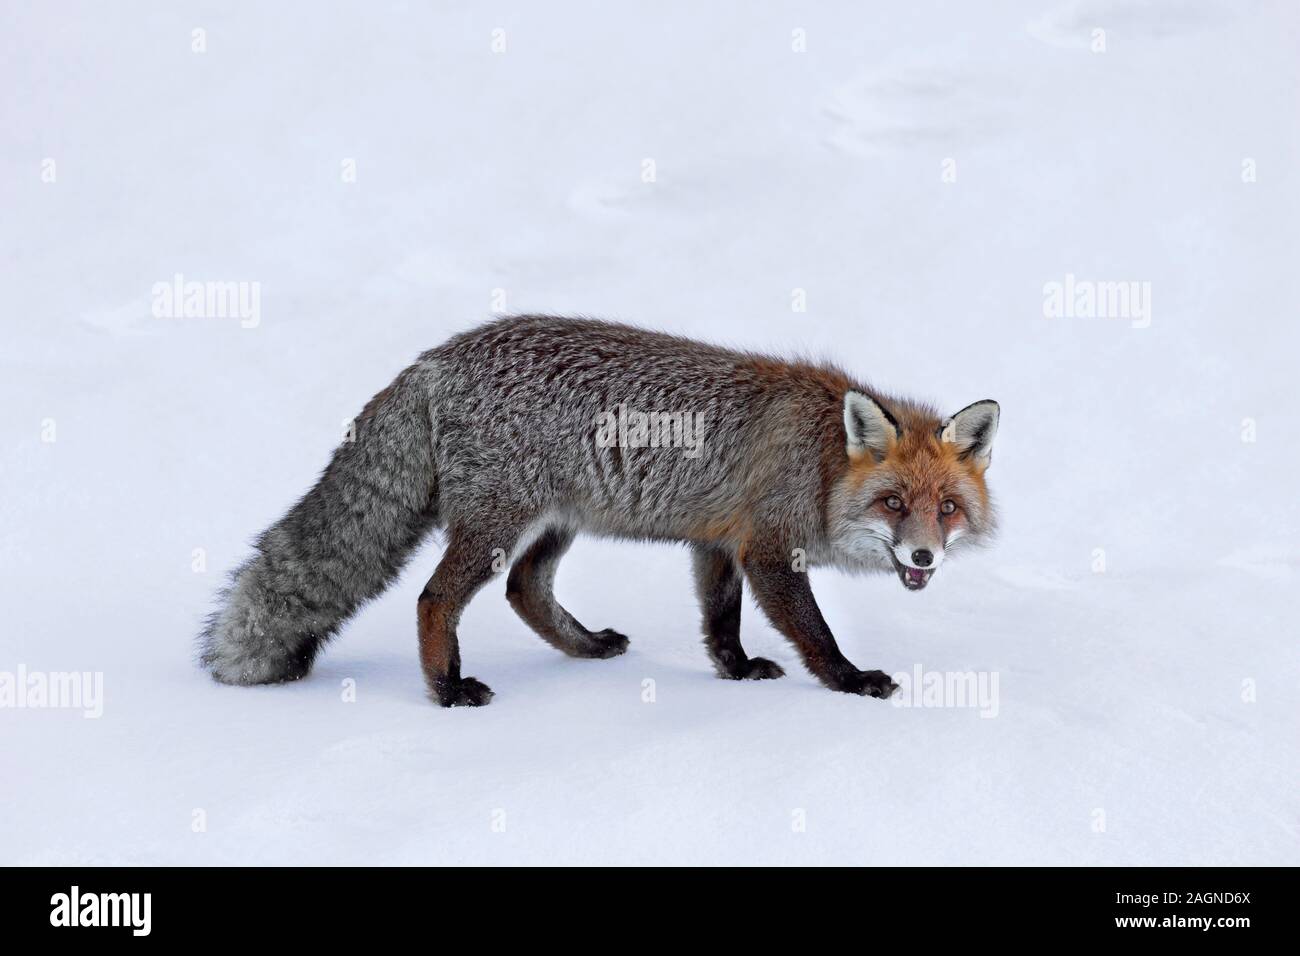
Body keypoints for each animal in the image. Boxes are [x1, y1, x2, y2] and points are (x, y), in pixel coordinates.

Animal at [200, 315, 999, 706]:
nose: (923, 556)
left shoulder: (718, 540)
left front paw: (736, 672)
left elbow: (720, 623)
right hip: (499, 522)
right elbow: (816, 633)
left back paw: (585, 648)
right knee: (434, 599)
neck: (823, 461)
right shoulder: (770, 547)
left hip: (555, 522)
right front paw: (851, 682)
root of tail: (436, 358)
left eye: (946, 509)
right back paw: (447, 690)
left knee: (525, 589)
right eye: (893, 503)